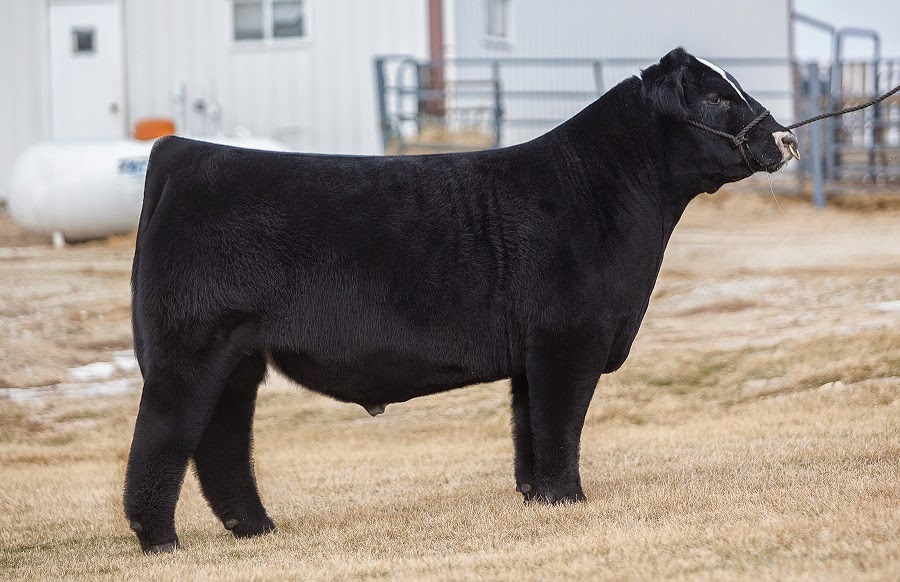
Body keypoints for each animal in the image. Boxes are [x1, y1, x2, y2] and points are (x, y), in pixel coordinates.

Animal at [124, 48, 799, 553]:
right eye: (716, 97)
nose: (785, 137)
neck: (605, 193)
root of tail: (185, 151)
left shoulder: (533, 353)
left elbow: (530, 428)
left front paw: (539, 500)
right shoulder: (568, 337)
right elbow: (560, 422)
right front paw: (570, 499)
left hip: (238, 357)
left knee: (221, 441)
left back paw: (257, 530)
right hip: (189, 349)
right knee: (163, 437)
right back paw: (161, 541)